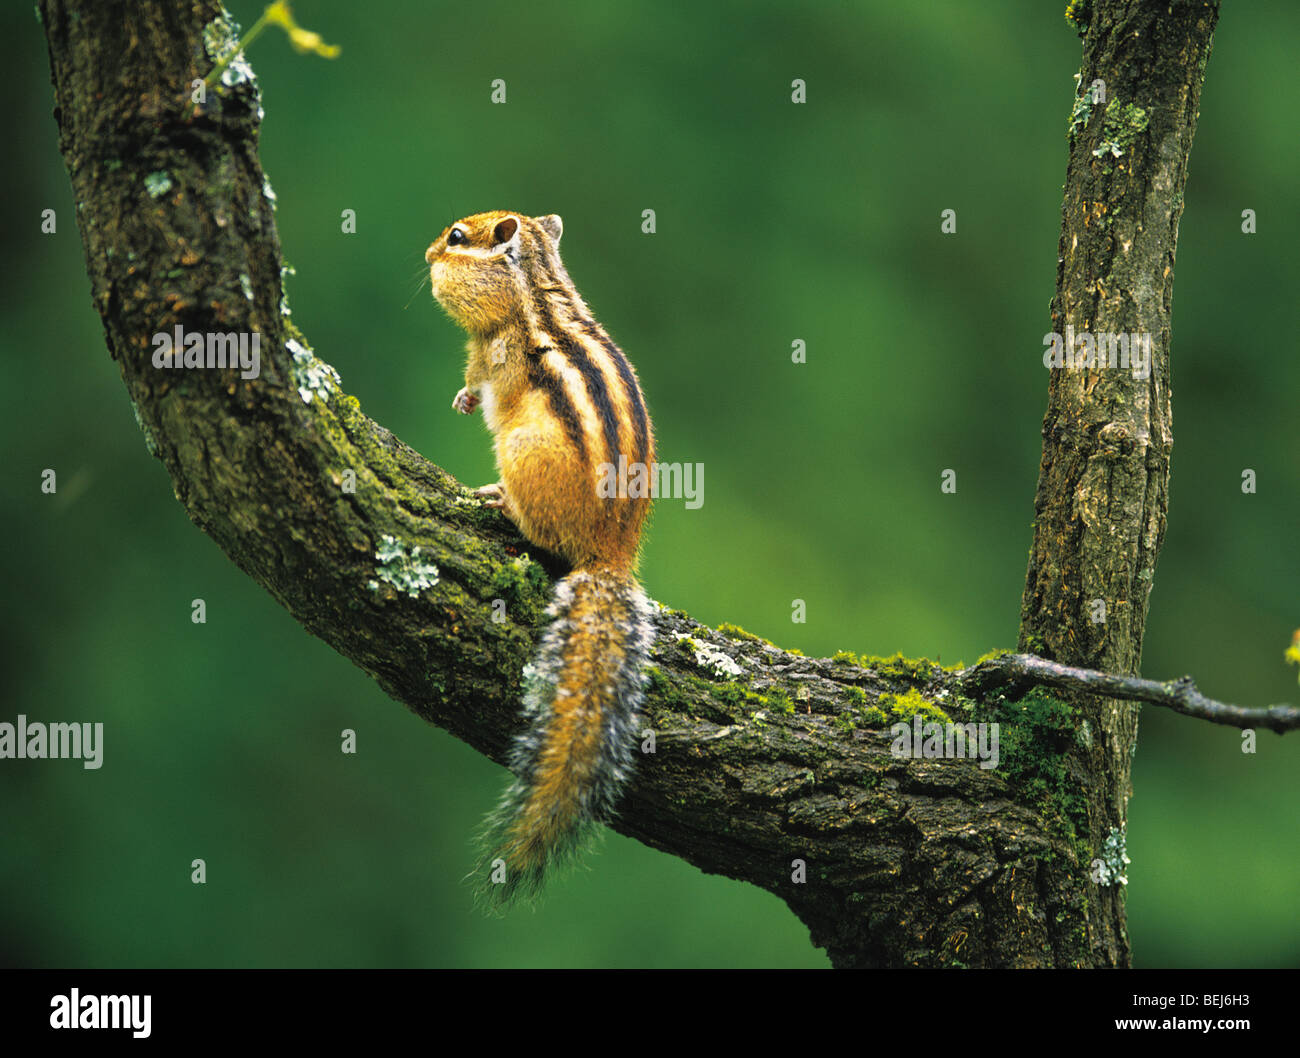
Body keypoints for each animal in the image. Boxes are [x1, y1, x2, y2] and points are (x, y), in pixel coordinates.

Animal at [426, 210, 656, 907]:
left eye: (457, 237)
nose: (427, 254)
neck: (536, 293)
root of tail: (612, 556)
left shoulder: (491, 353)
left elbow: (480, 379)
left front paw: (465, 399)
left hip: (521, 454)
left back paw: (498, 500)